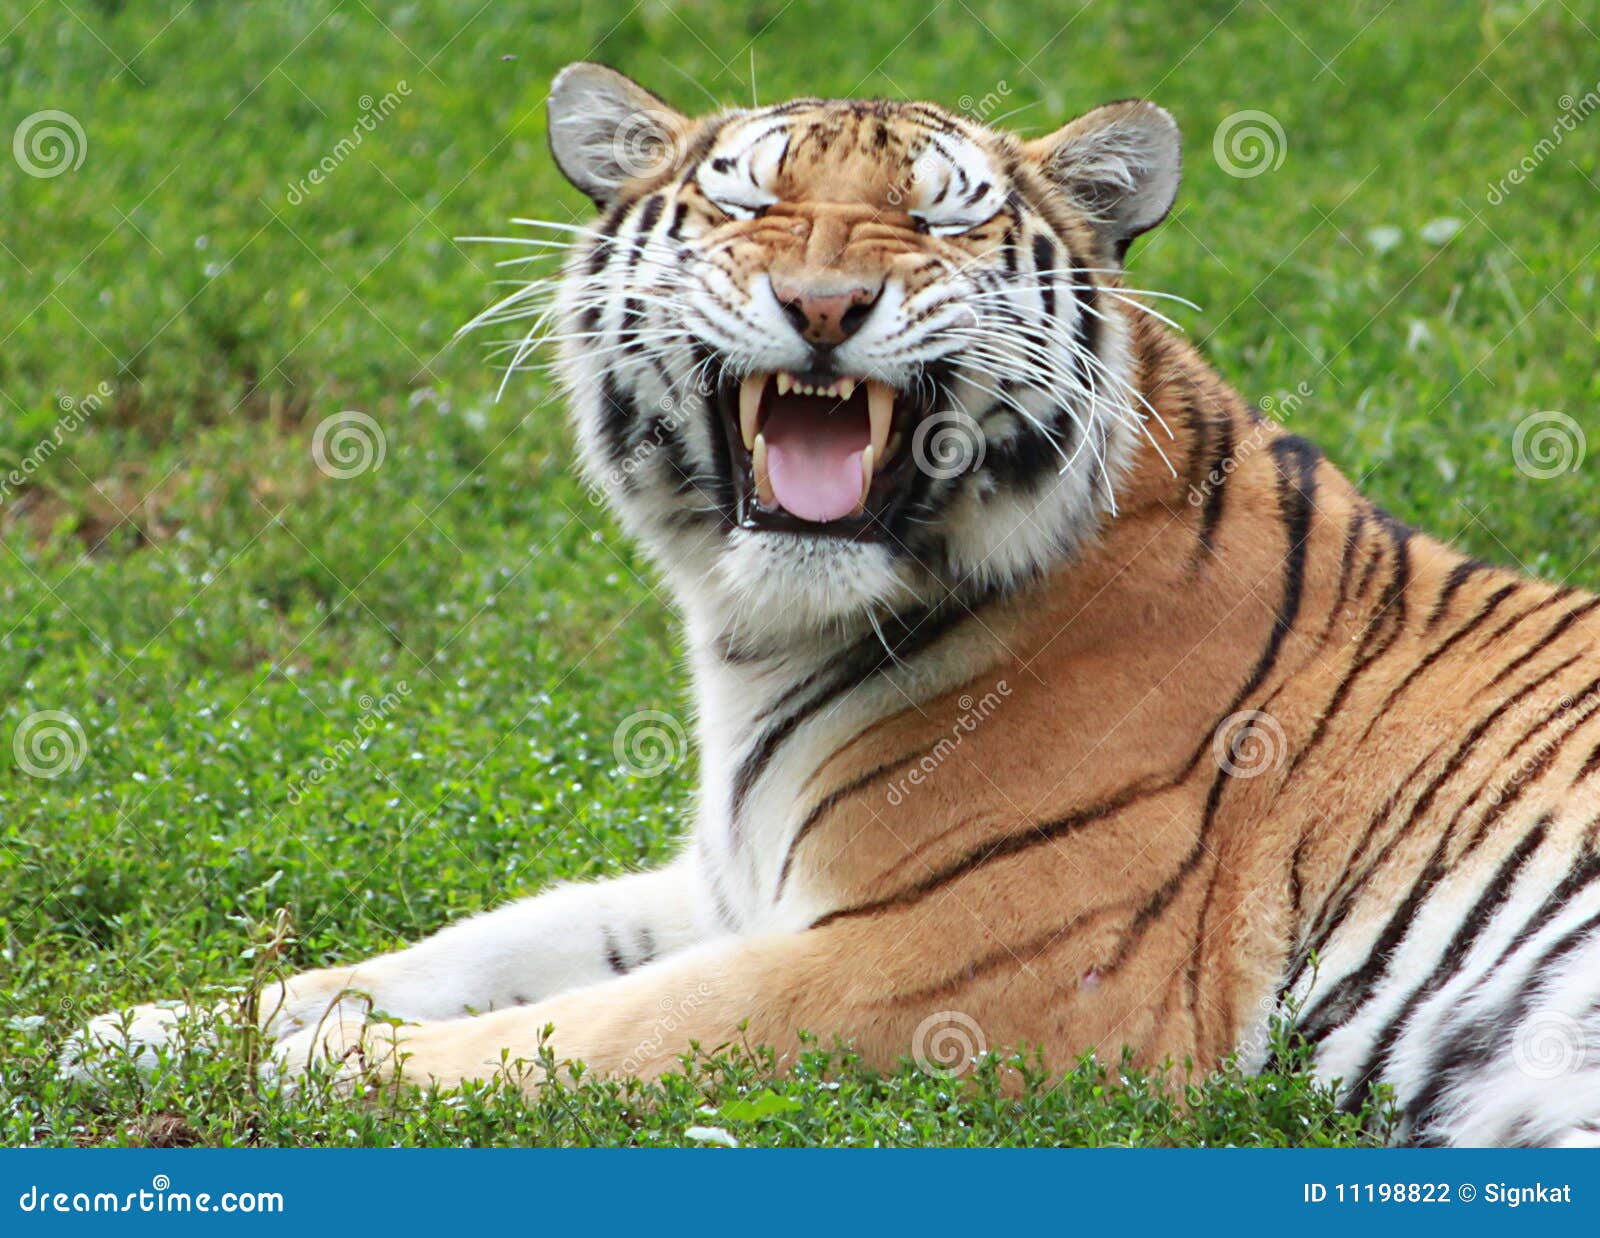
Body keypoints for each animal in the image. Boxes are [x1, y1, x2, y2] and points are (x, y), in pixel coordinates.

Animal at [65, 62, 1600, 1148]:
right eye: (749, 201)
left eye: (941, 215)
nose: (822, 302)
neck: (762, 632)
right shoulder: (731, 880)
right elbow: (477, 944)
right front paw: (140, 1030)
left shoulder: (955, 965)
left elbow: (600, 1032)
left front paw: (301, 1068)